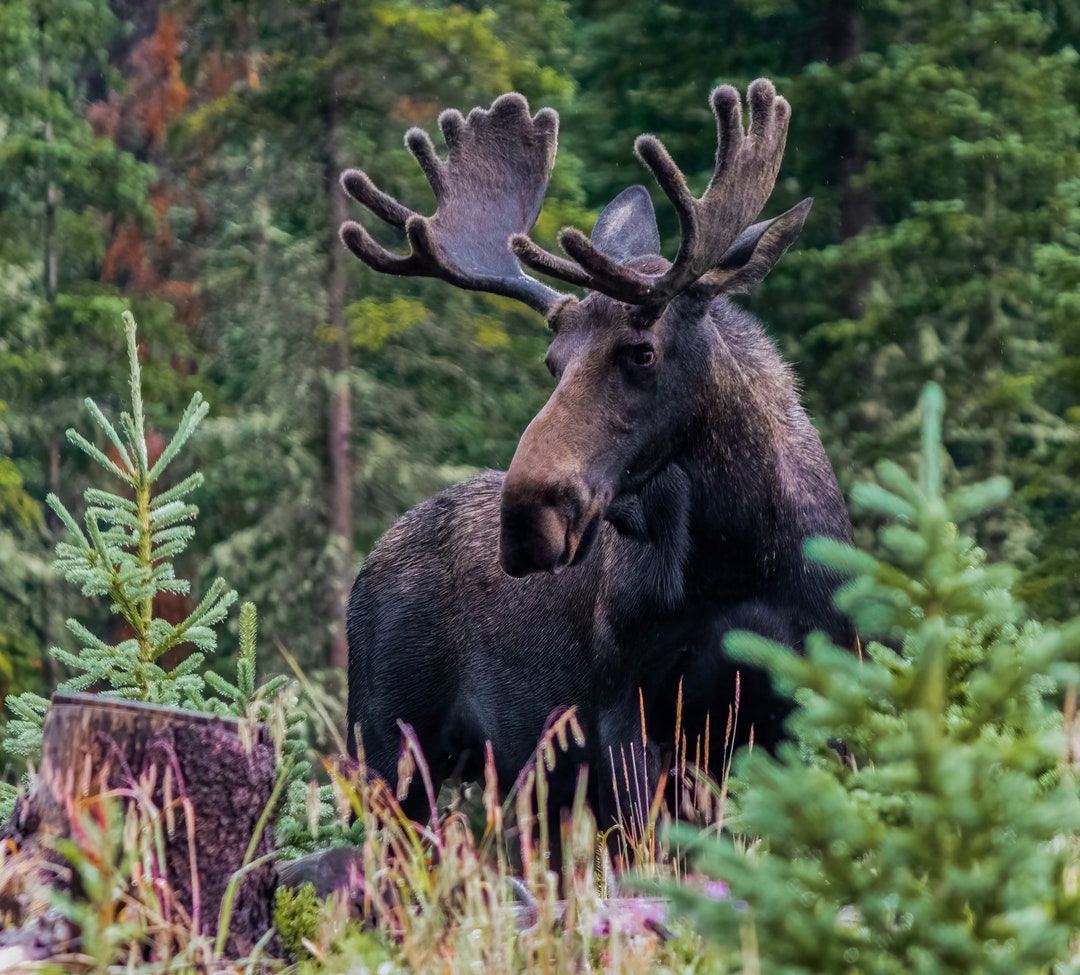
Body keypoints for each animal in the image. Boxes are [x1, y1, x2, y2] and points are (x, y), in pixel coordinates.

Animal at [338, 80, 854, 845]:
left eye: (641, 350)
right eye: (553, 362)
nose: (527, 518)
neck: (739, 554)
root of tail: (368, 566)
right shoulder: (625, 711)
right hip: (390, 749)